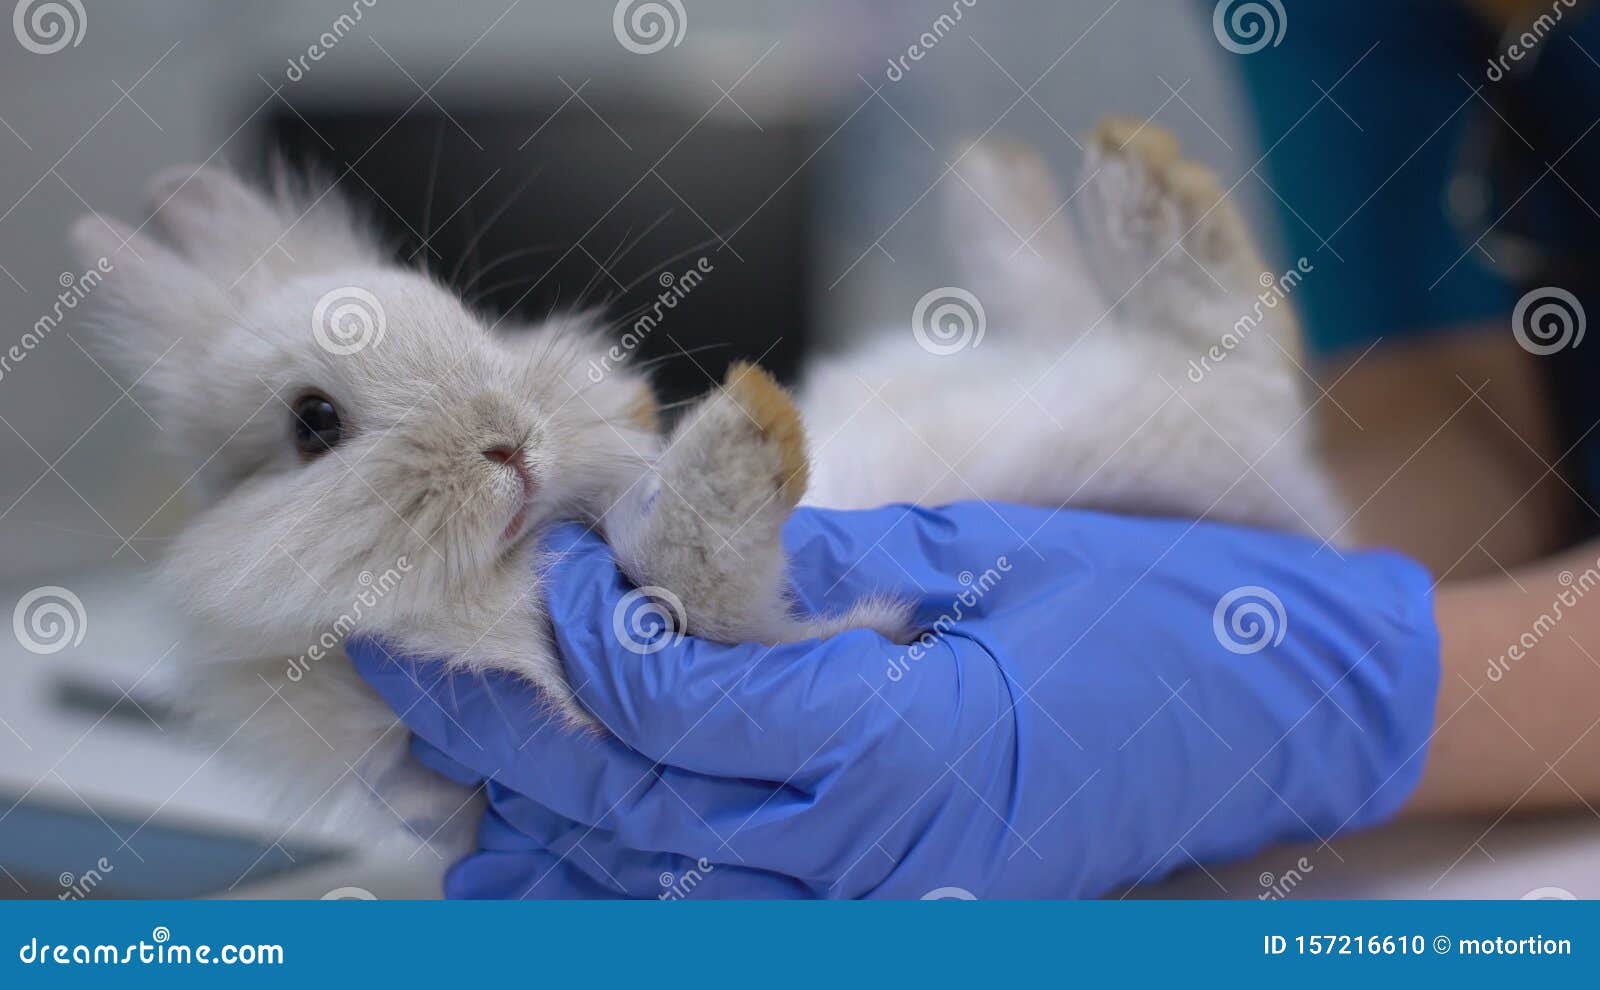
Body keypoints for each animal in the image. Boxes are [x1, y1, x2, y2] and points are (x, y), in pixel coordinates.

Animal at [68, 116, 1340, 864]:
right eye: (313, 425)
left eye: (462, 316)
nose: (507, 445)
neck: (507, 588)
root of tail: (1295, 508)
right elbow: (695, 574)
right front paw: (747, 443)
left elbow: (683, 555)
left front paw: (740, 432)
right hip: (1157, 425)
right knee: (1184, 338)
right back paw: (1026, 176)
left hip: (1150, 421)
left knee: (1221, 326)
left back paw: (1103, 171)